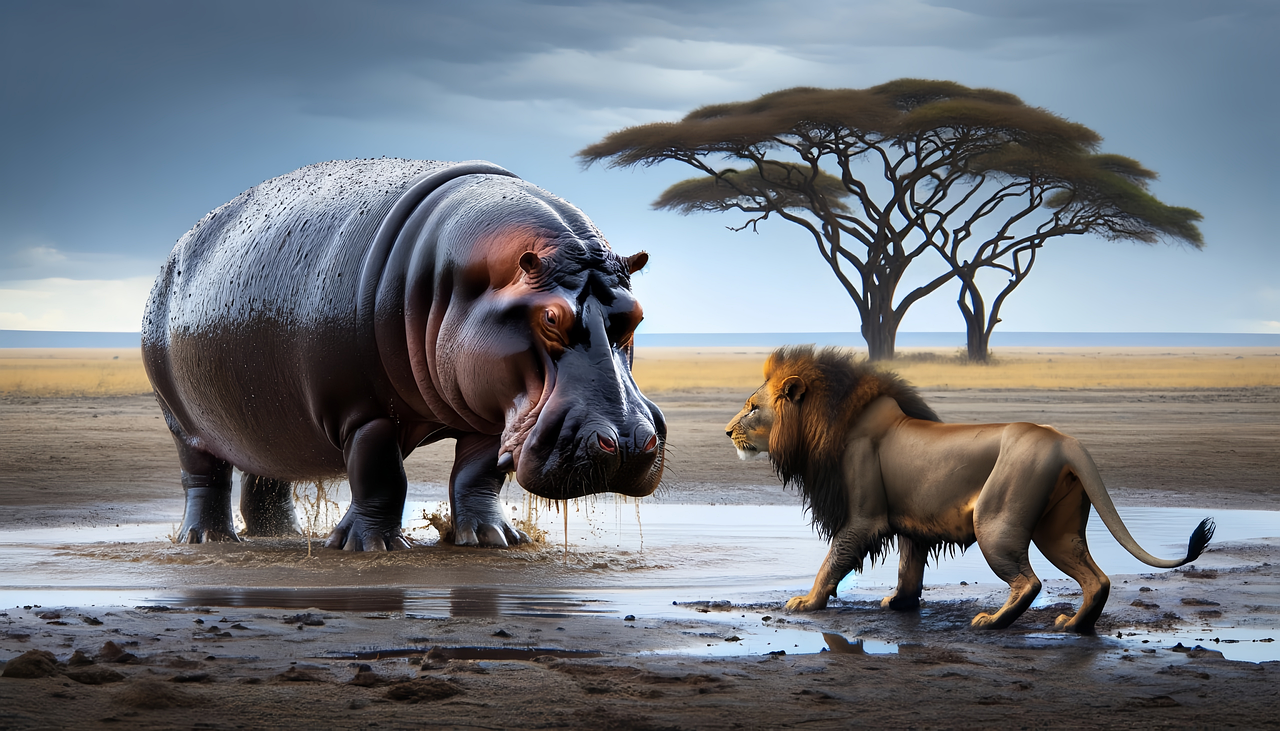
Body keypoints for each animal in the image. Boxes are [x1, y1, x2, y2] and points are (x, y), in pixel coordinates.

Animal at [142, 159, 665, 551]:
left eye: (636, 314)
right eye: (550, 319)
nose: (626, 442)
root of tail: (173, 253)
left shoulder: (487, 413)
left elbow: (477, 476)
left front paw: (494, 538)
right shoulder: (364, 412)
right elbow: (381, 474)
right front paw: (372, 547)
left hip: (266, 420)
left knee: (268, 471)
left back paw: (281, 533)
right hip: (180, 421)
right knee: (205, 476)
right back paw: (207, 539)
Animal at [726, 346, 1214, 634]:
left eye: (752, 407)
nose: (727, 430)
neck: (826, 424)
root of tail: (1064, 440)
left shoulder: (864, 517)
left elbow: (833, 560)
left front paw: (807, 602)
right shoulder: (910, 520)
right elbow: (909, 566)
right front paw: (900, 603)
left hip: (995, 521)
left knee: (1030, 582)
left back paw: (991, 622)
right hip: (1057, 530)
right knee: (1098, 580)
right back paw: (1071, 626)